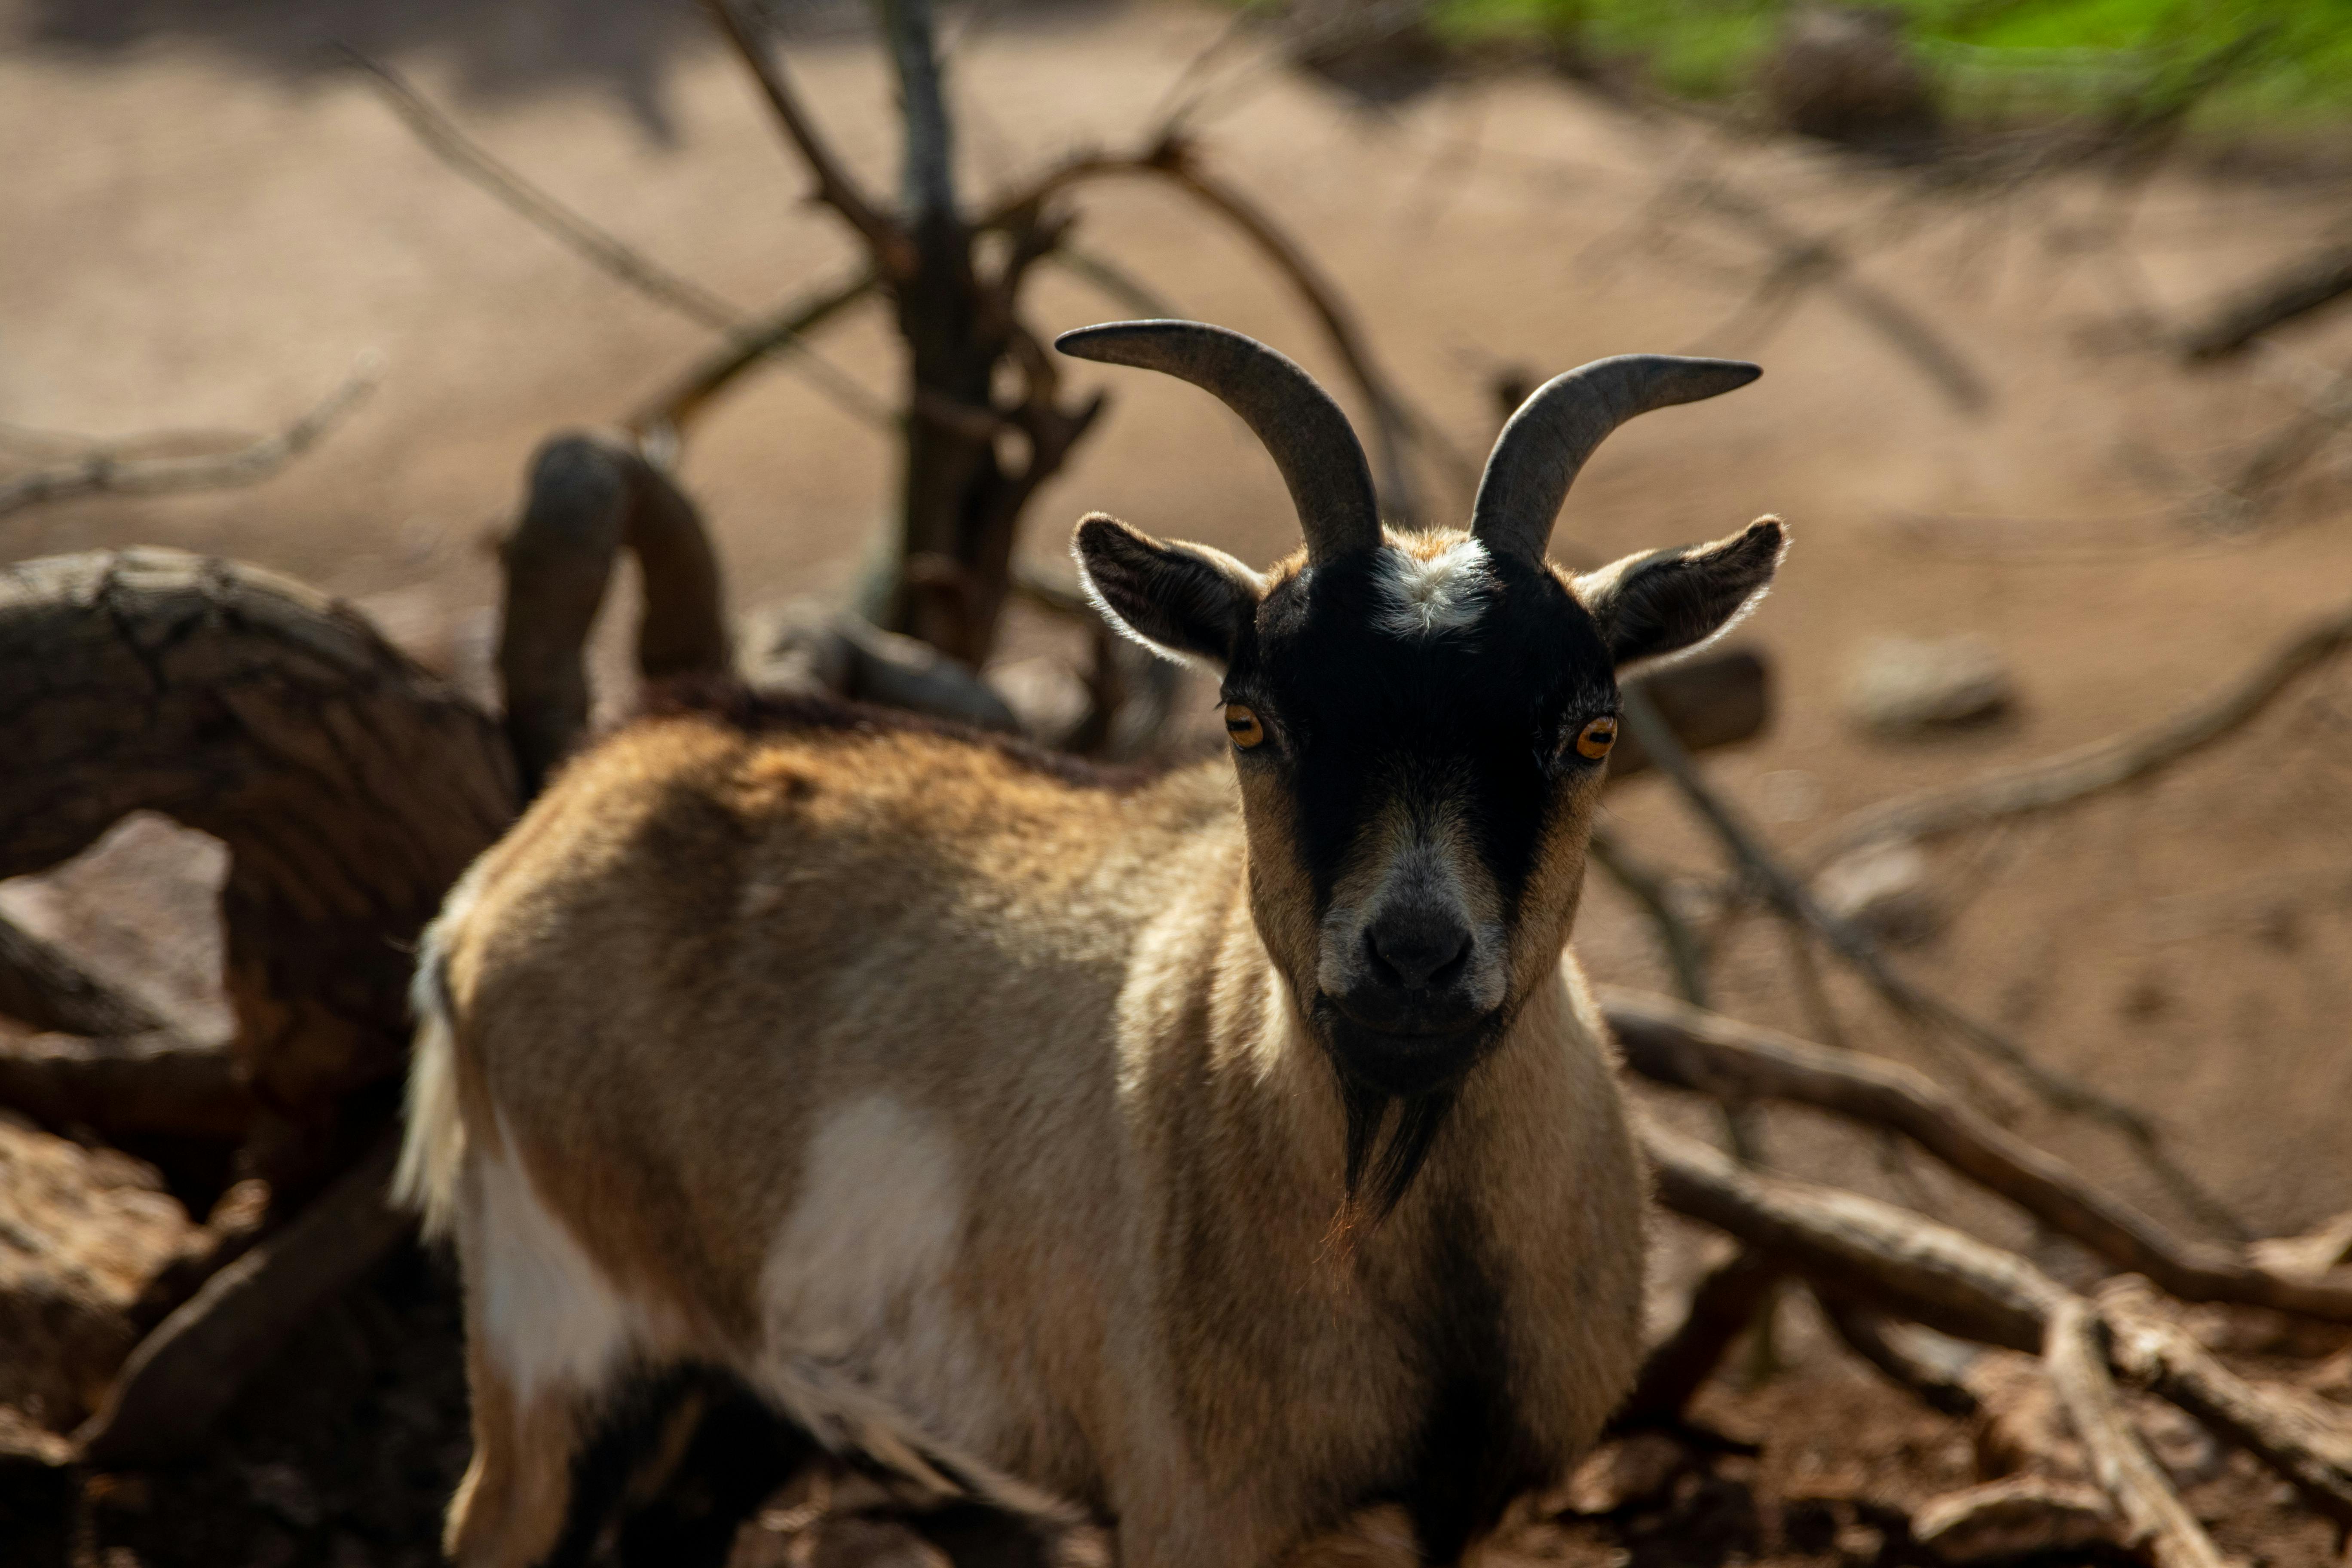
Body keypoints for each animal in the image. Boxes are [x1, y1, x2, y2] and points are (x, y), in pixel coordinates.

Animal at [395, 319, 1785, 1567]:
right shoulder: (1195, 1512)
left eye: (1592, 730)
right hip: (553, 1315)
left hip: (729, 1387)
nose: (1413, 961)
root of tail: (539, 833)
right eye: (1247, 718)